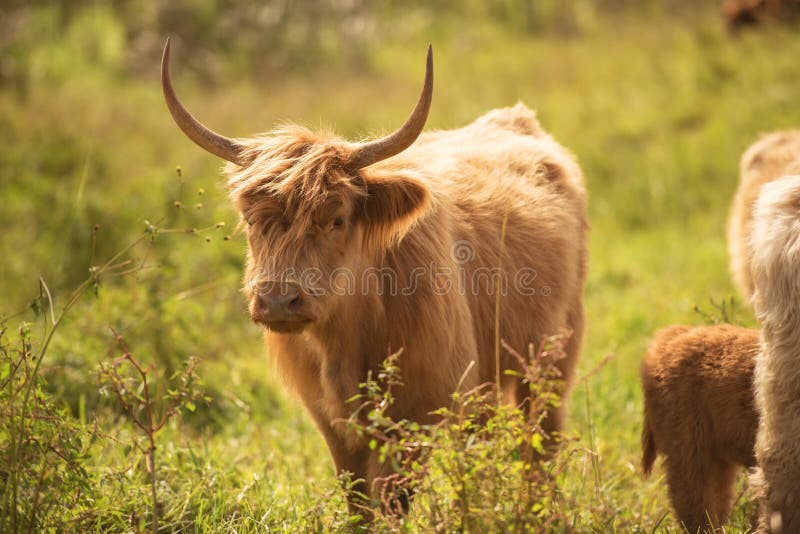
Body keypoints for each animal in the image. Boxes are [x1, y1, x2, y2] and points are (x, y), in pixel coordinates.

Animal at [161, 38, 588, 517]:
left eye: (337, 219)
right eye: (251, 219)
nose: (277, 302)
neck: (347, 338)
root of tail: (517, 119)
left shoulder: (417, 415)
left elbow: (394, 499)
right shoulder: (331, 421)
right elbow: (357, 499)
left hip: (553, 356)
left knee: (541, 446)